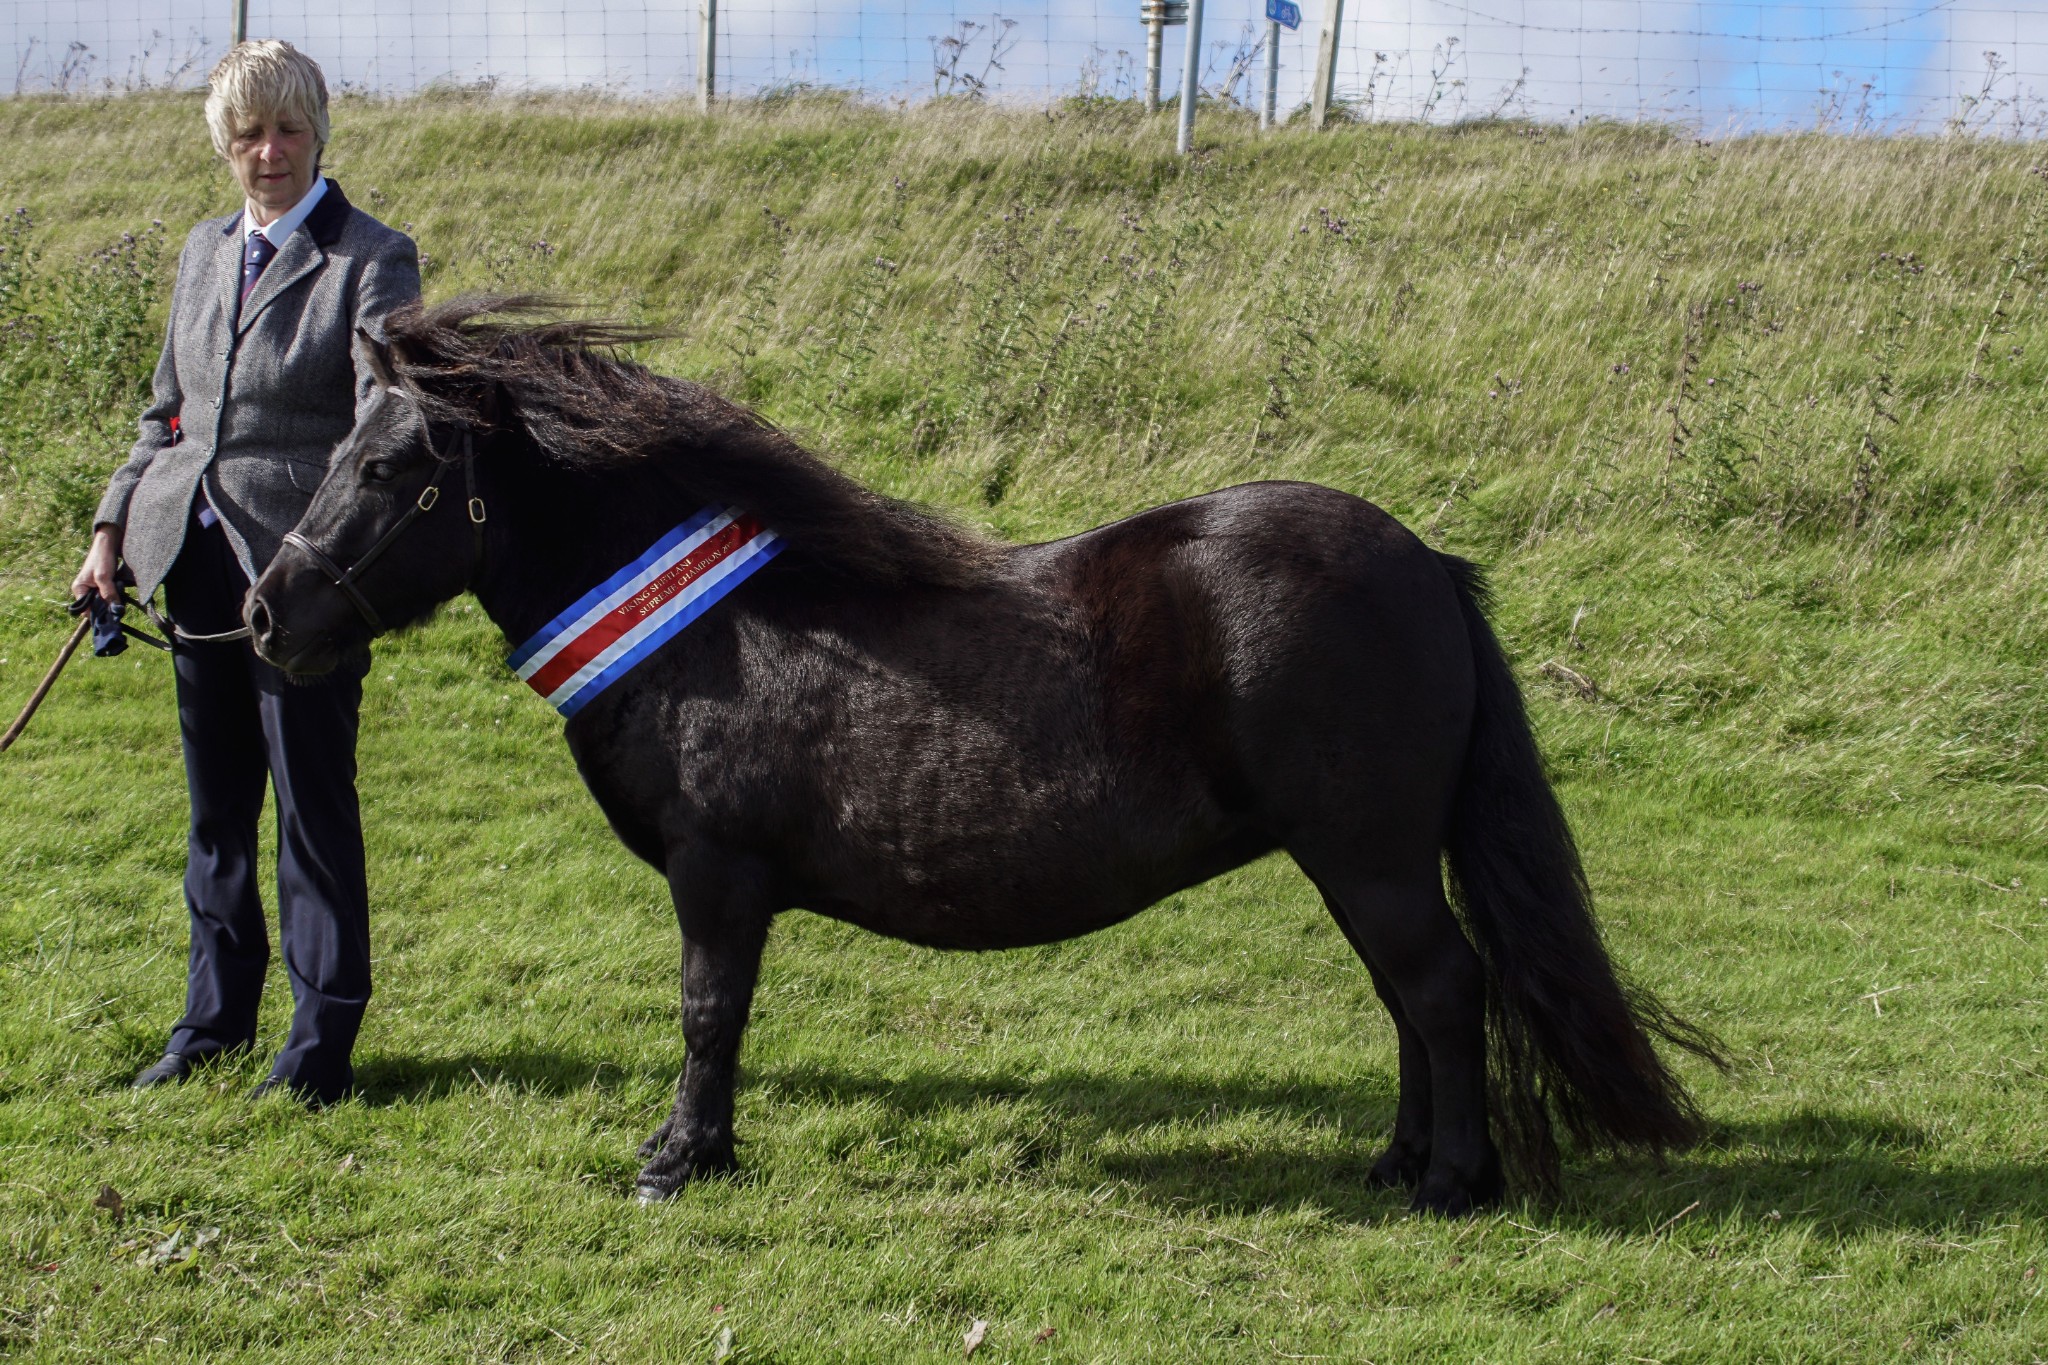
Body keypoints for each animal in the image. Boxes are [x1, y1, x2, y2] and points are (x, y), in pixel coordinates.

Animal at [246, 297, 1721, 1214]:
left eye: (389, 468)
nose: (267, 614)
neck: (713, 624)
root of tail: (1424, 564)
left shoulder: (718, 878)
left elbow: (708, 1014)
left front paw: (679, 1158)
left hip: (1372, 856)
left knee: (1440, 989)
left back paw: (1453, 1182)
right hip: (1358, 862)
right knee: (1412, 998)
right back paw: (1400, 1162)